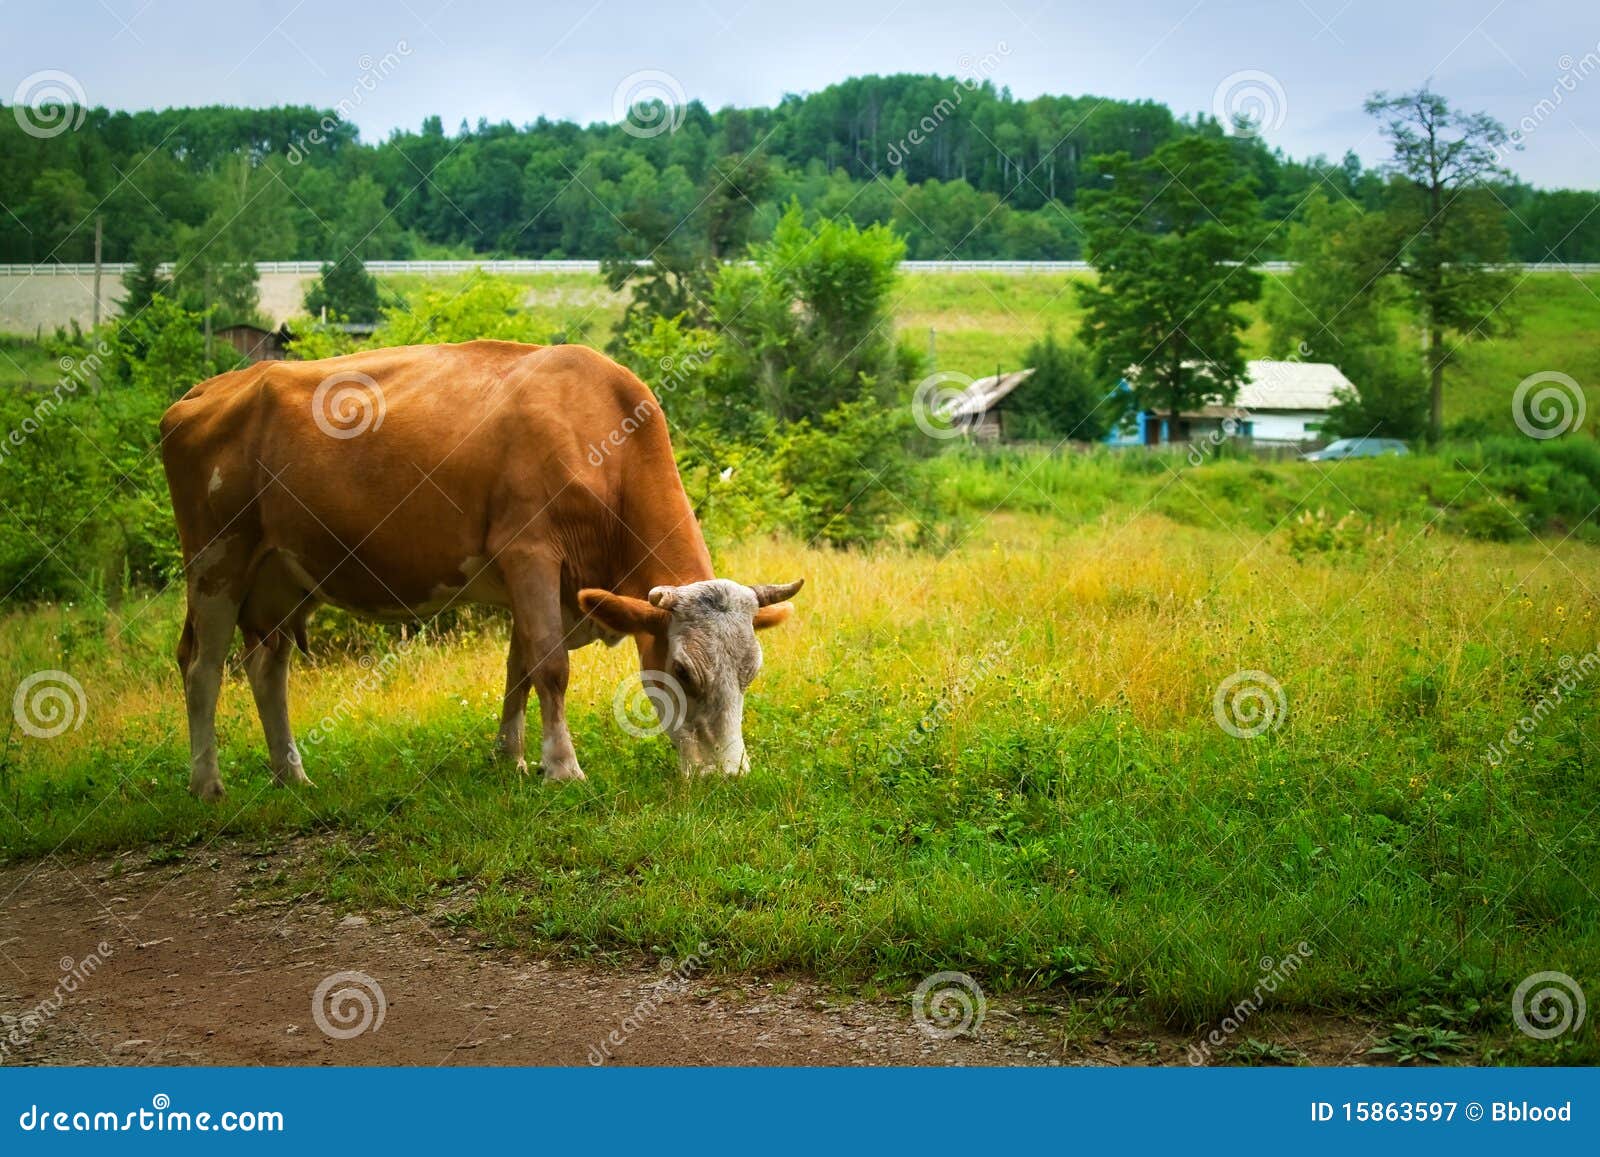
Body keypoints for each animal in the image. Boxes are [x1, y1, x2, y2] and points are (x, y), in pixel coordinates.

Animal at [159, 340, 802, 799]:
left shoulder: (538, 583)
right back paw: (207, 784)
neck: (600, 433)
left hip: (281, 576)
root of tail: (205, 390)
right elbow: (550, 668)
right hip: (216, 560)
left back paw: (291, 774)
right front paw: (563, 768)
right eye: (684, 672)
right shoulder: (530, 552)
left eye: (750, 673)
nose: (729, 775)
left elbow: (519, 668)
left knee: (268, 668)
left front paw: (511, 758)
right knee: (203, 667)